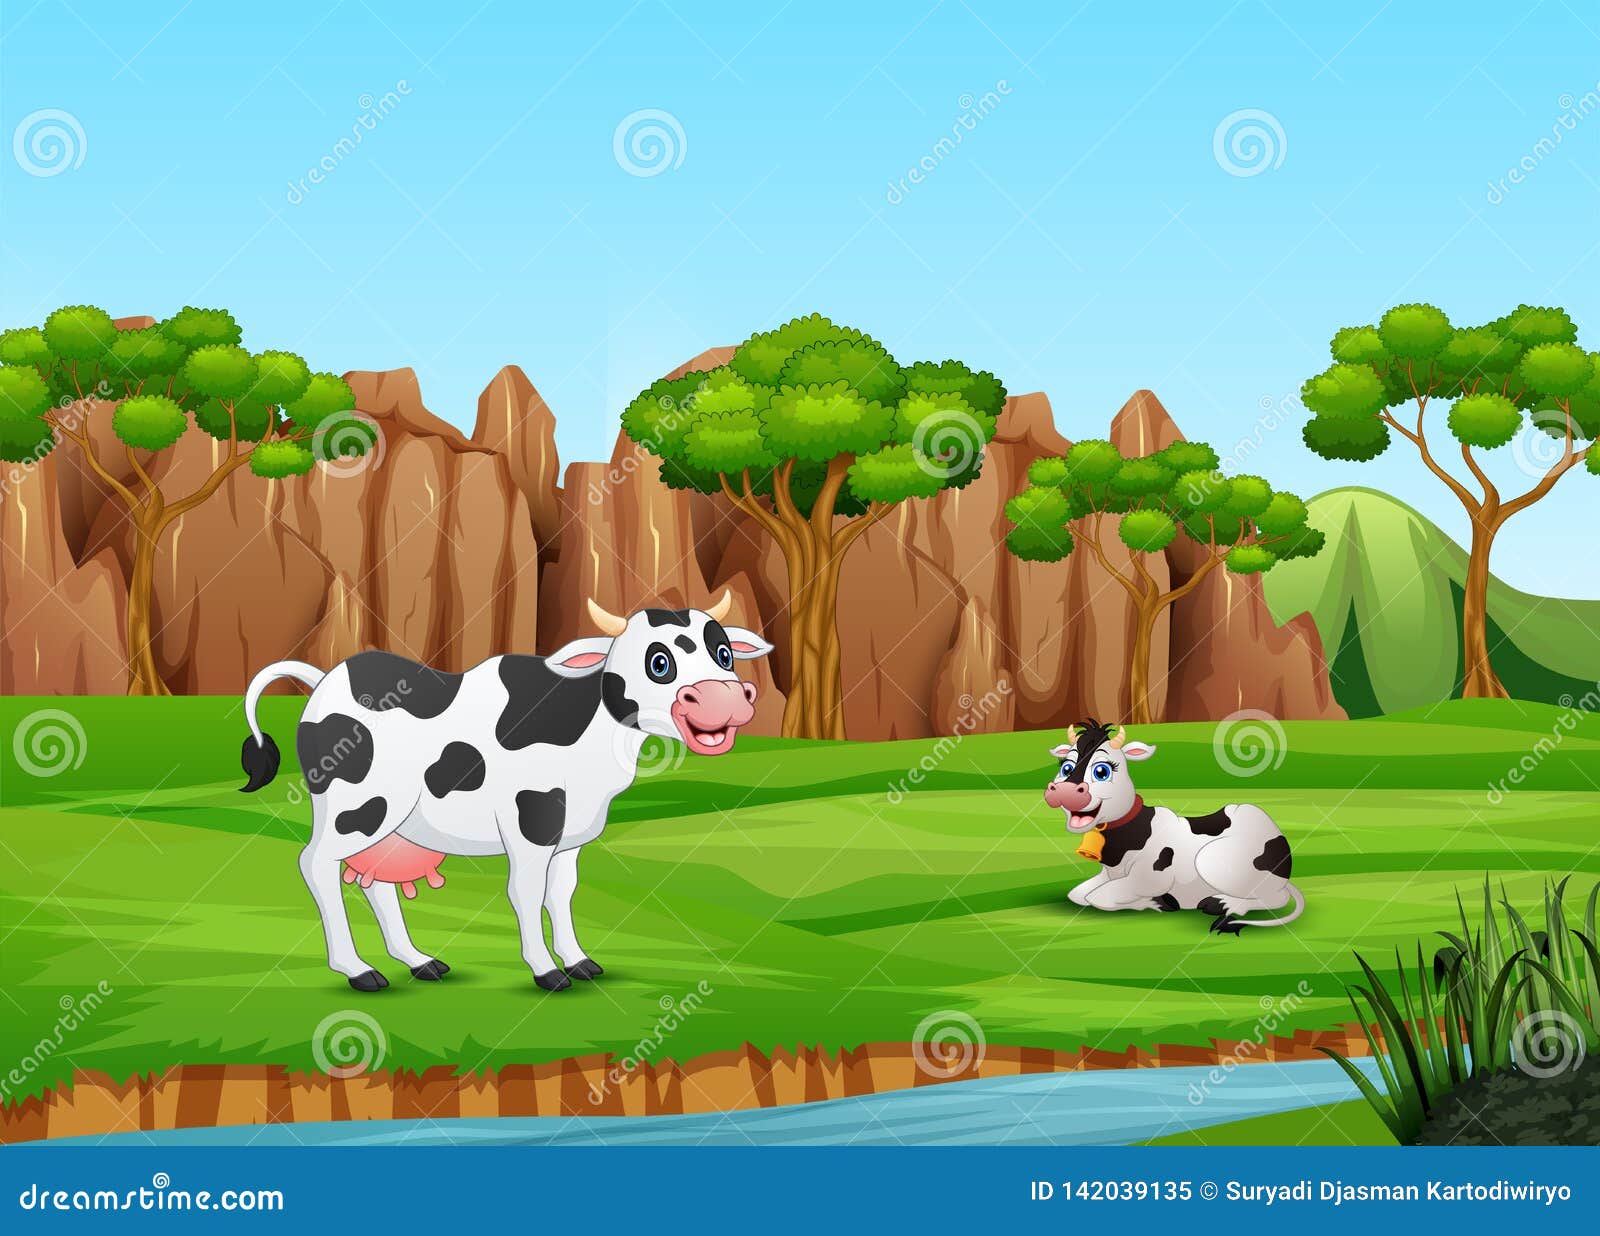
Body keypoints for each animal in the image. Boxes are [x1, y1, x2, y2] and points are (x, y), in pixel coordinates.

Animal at [237, 593, 772, 992]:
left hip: (388, 820)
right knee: (316, 865)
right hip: (354, 809)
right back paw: (357, 970)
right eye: (659, 662)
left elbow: (562, 893)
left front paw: (578, 960)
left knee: (378, 879)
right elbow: (526, 892)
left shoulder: (570, 835)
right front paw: (546, 970)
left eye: (724, 653)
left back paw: (416, 961)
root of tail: (323, 679)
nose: (727, 697)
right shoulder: (531, 822)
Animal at [1043, 720, 1304, 933]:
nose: (1064, 790)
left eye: (1102, 771)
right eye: (1066, 768)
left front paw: (1155, 902)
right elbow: (1078, 894)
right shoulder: (1108, 873)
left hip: (1213, 859)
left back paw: (1223, 903)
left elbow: (1098, 897)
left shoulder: (1150, 877)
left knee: (1276, 898)